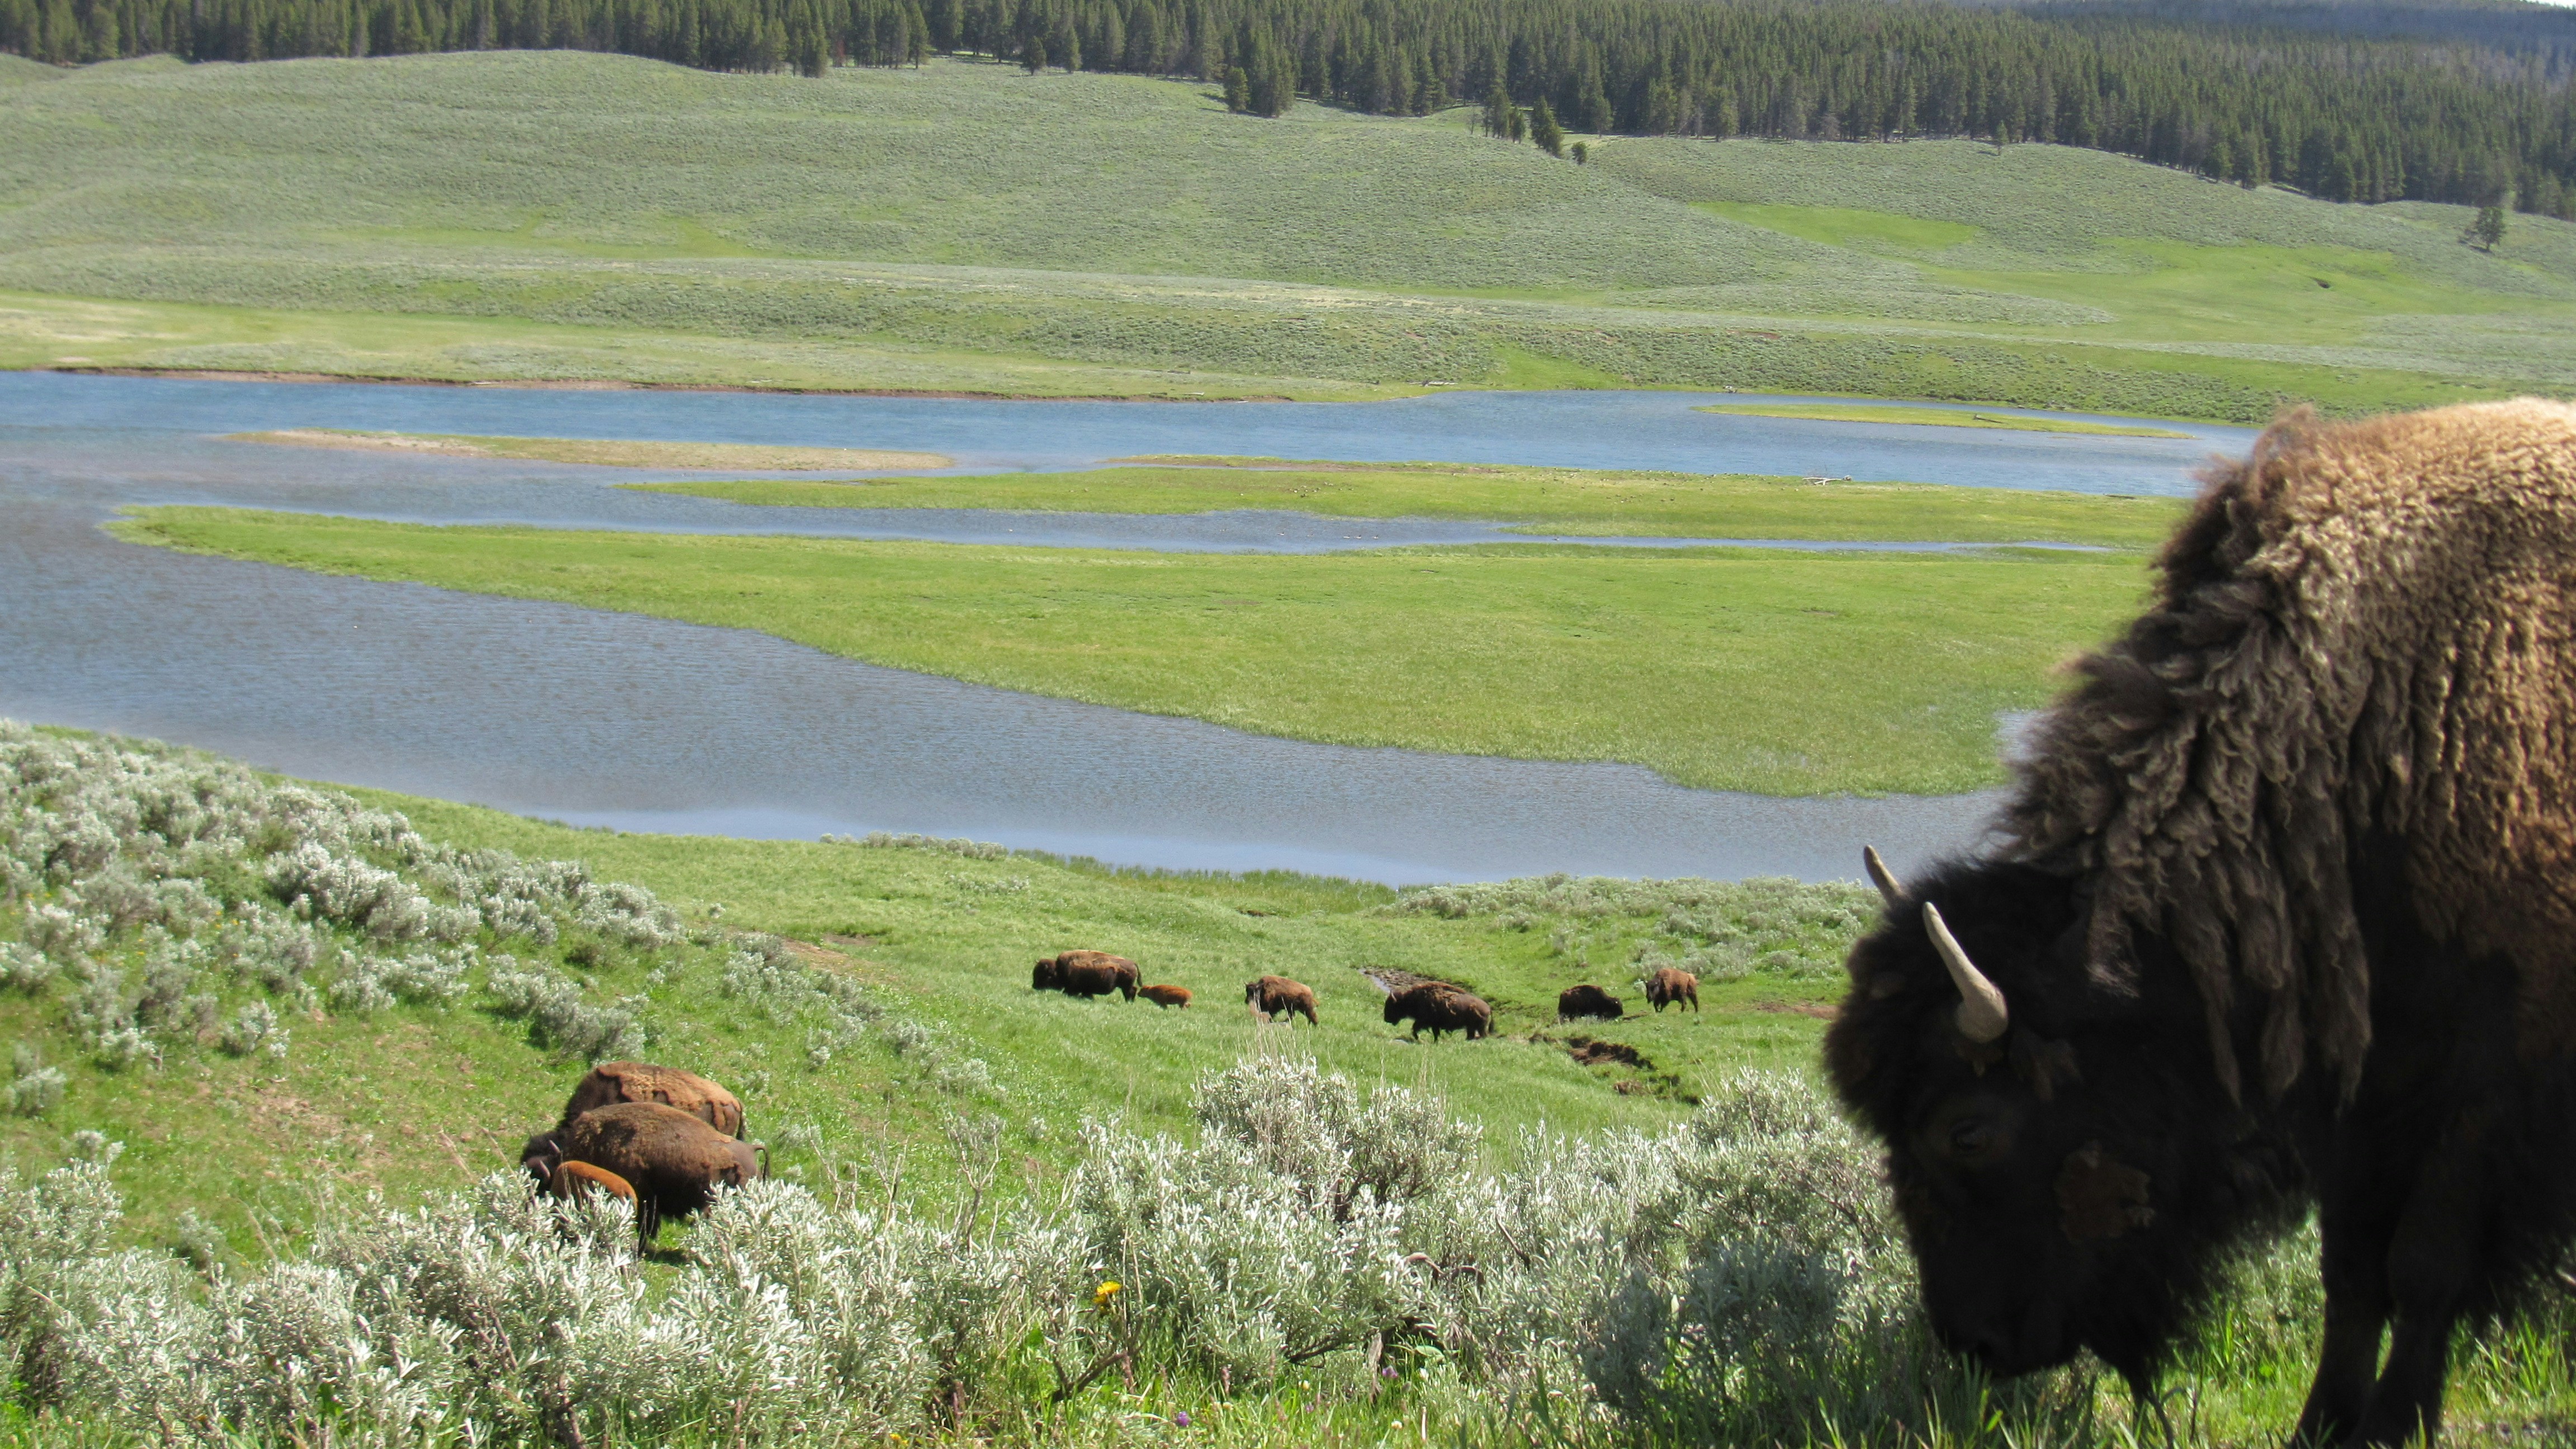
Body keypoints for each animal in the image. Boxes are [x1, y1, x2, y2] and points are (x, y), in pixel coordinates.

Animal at [1033, 950, 1139, 1000]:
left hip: (1126, 986)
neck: (1059, 970)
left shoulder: (1072, 989)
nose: (1034, 986)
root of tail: (1133, 963)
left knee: (1131, 992)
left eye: (1045, 975)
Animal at [1244, 975, 1318, 1024]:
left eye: (1255, 992)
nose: (1247, 1001)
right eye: (1247, 991)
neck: (1263, 990)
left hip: (1306, 1009)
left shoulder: (1272, 1009)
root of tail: (1309, 991)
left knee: (1312, 1016)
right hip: (1293, 1009)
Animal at [1384, 982, 1490, 1042]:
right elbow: (1435, 1033)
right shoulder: (1433, 1025)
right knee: (1472, 1035)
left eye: (1392, 1006)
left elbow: (1415, 1029)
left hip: (1477, 1027)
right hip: (1472, 1027)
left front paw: (1419, 1039)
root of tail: (1488, 1007)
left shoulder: (1424, 1022)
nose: (1386, 1019)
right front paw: (1435, 1041)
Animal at [1825, 401, 2576, 1448]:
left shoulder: (2485, 1083)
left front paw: (2393, 1421)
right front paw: (2320, 1423)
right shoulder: (2354, 1085)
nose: (1972, 1339)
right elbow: (2351, 1270)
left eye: (1966, 1129)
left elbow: (2424, 1264)